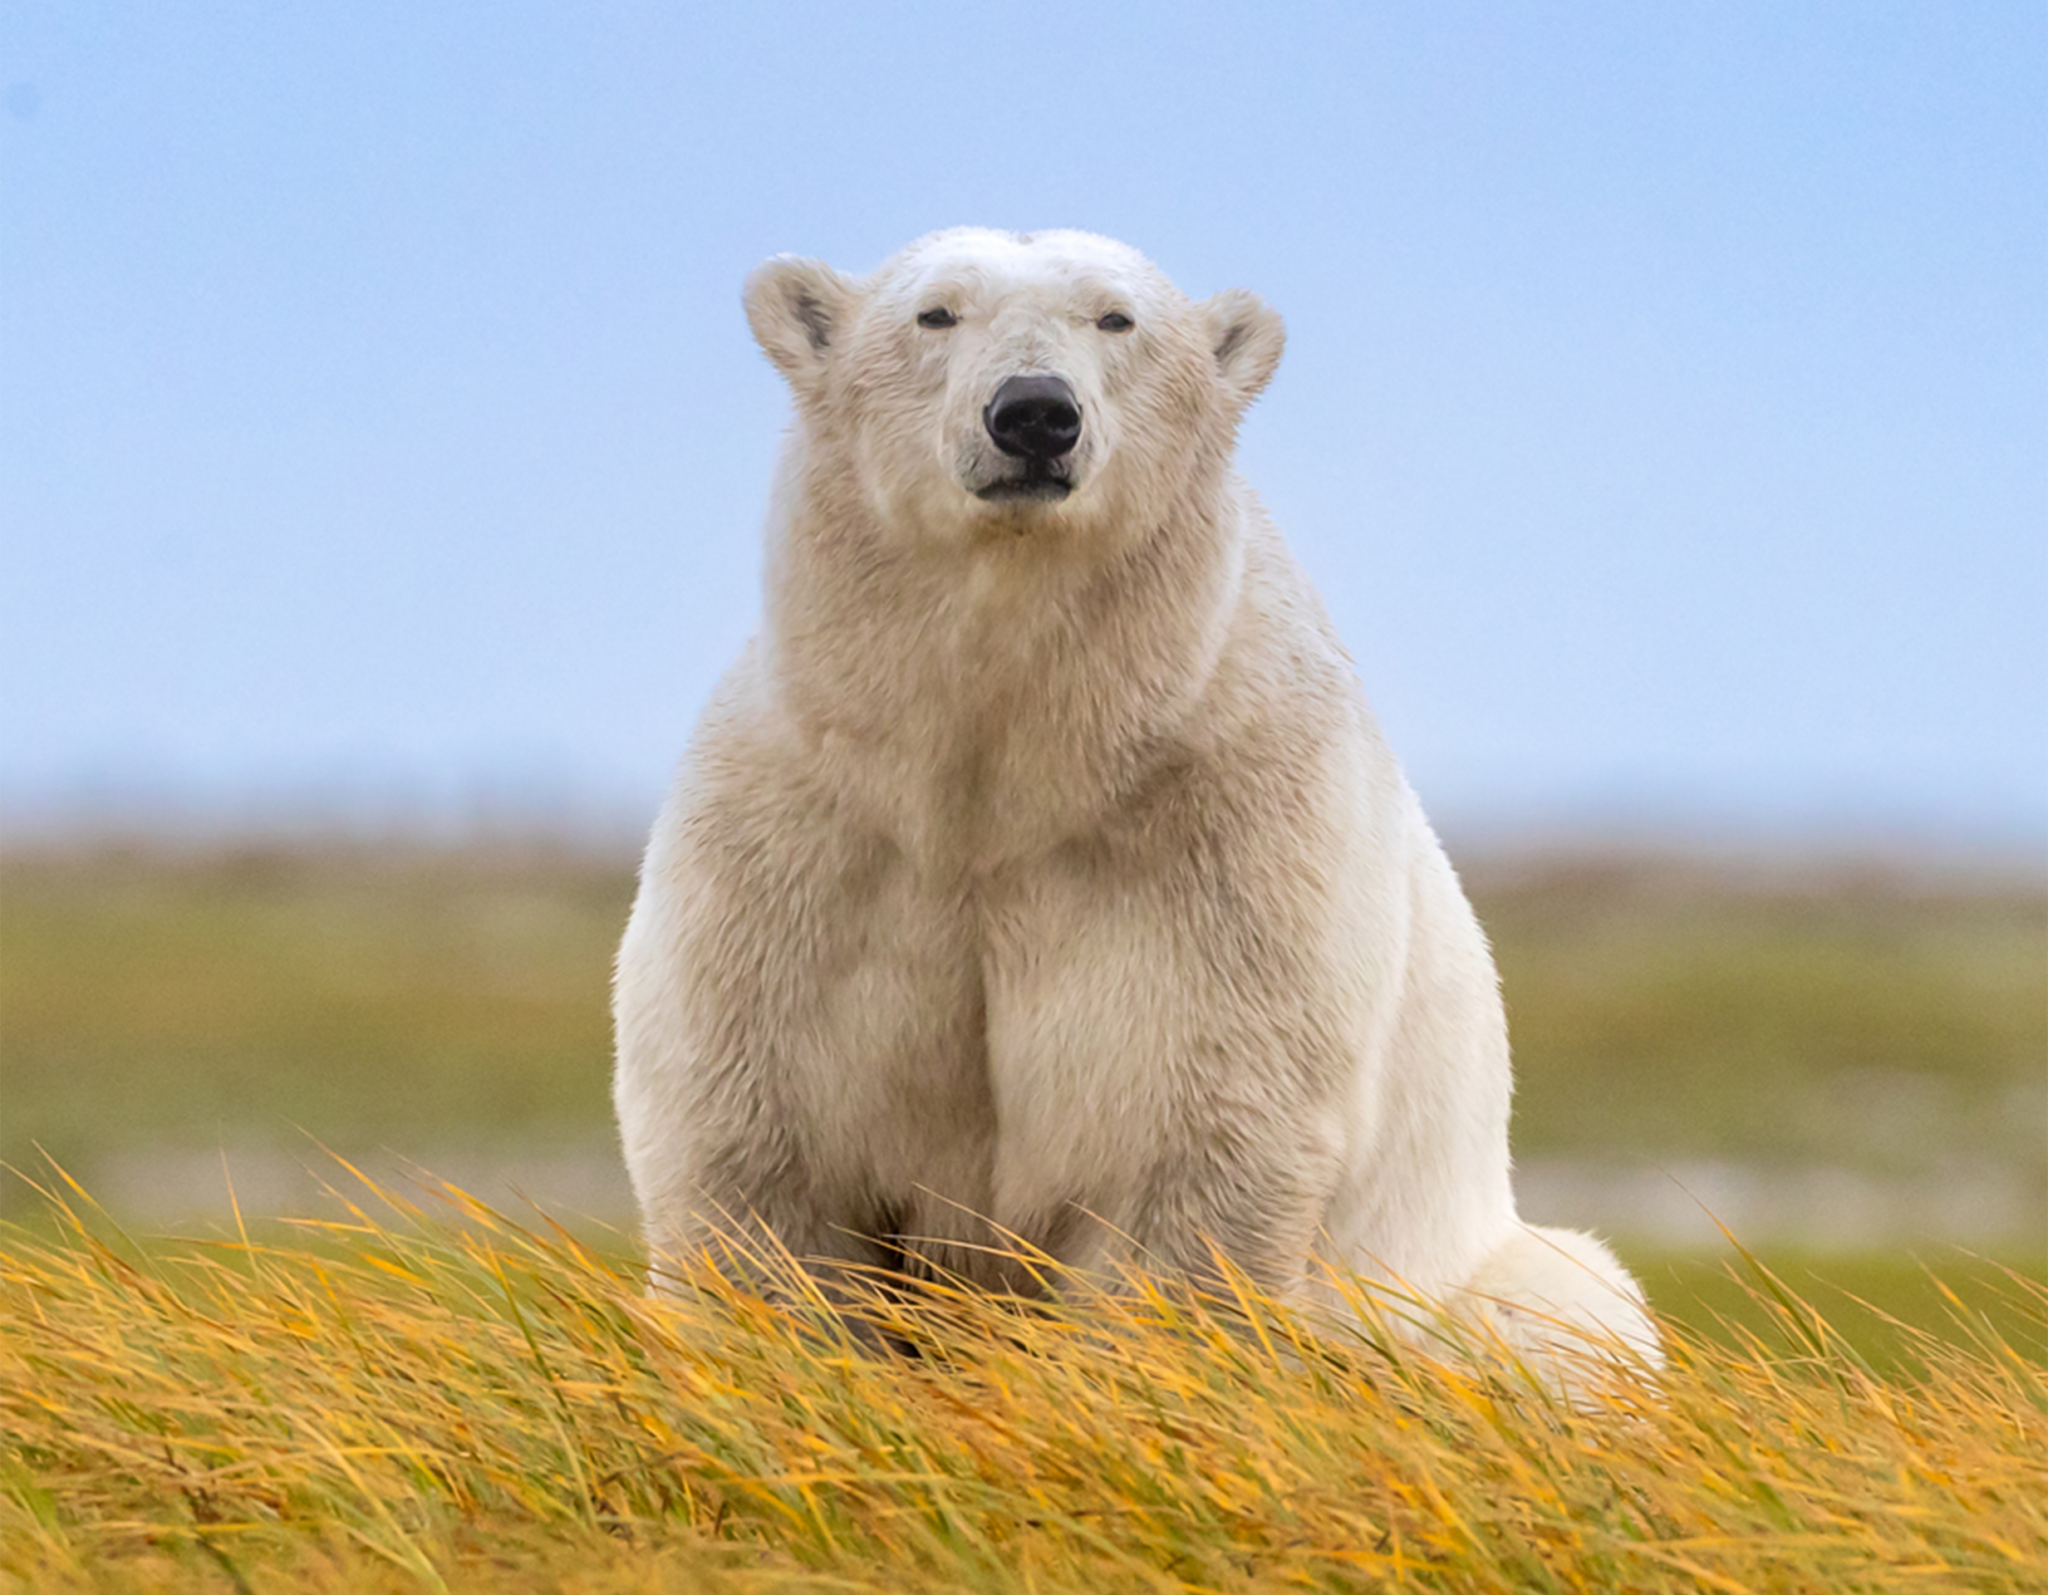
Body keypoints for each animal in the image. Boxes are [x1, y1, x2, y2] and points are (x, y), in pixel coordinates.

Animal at [612, 227, 1658, 1376]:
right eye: (935, 312)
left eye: (1116, 318)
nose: (1033, 412)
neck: (1000, 776)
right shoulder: (796, 845)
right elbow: (767, 1165)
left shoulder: (1228, 849)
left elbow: (1189, 1153)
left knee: (1560, 1310)